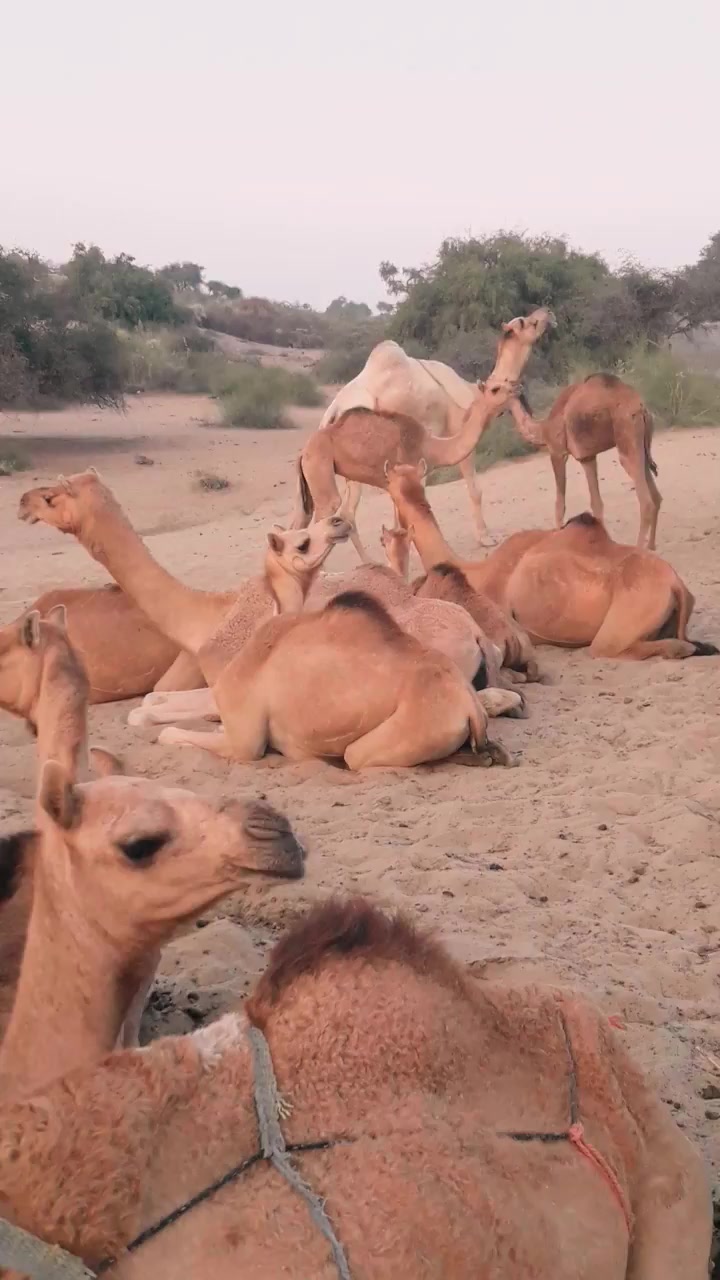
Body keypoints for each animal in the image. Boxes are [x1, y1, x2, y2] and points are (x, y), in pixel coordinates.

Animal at [313, 307, 556, 549]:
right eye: (524, 322)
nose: (547, 312)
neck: (474, 394)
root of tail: (333, 410)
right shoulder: (455, 433)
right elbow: (475, 490)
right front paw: (485, 537)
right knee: (347, 512)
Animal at [507, 373, 662, 549]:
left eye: (496, 389)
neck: (543, 429)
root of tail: (640, 406)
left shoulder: (557, 452)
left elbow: (560, 505)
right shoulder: (587, 458)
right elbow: (596, 503)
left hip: (627, 435)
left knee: (646, 502)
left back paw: (639, 548)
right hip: (643, 445)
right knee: (656, 496)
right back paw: (651, 547)